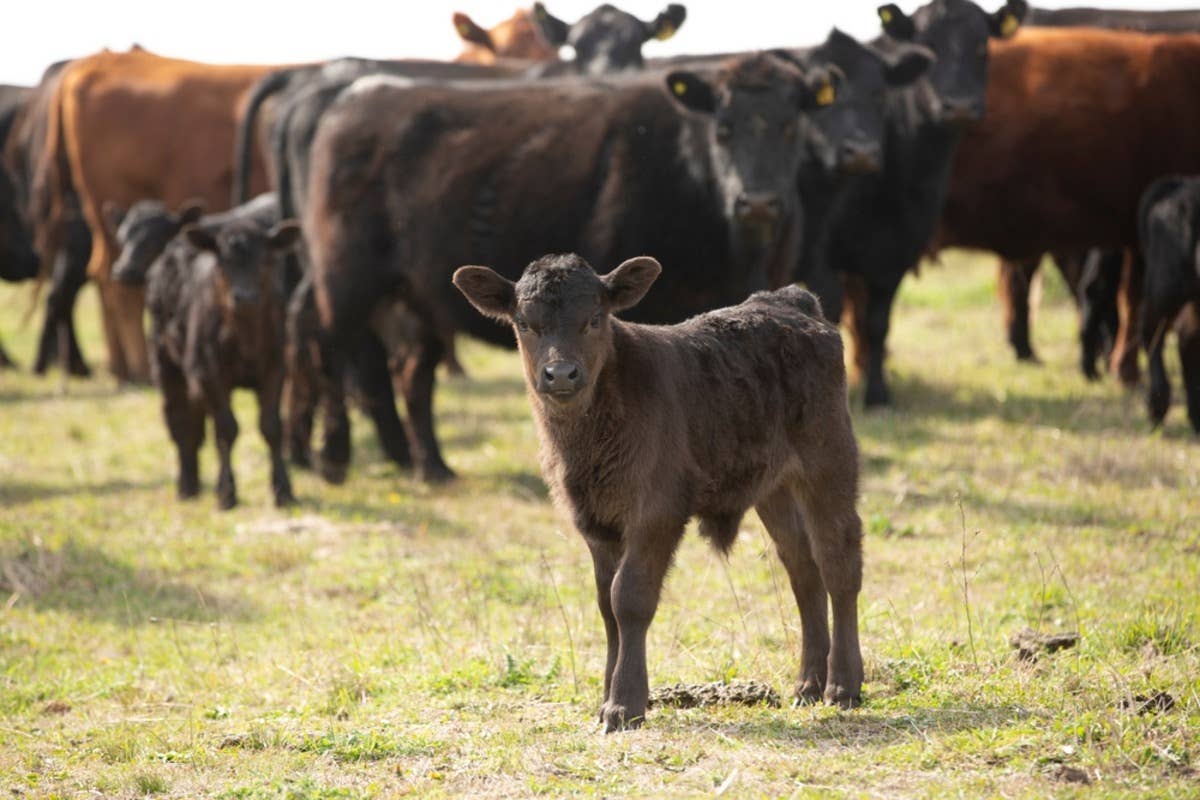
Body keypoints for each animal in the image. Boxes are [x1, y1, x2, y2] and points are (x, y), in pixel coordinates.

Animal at [112, 194, 300, 508]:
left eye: (266, 260)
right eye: (222, 262)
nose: (244, 297)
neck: (245, 335)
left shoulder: (275, 368)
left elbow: (271, 426)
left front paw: (283, 489)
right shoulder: (208, 372)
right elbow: (225, 428)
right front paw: (226, 492)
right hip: (167, 363)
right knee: (179, 420)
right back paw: (187, 484)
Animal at [303, 53, 842, 483]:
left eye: (792, 127)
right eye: (723, 129)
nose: (758, 202)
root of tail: (355, 98)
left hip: (423, 297)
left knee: (412, 372)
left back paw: (433, 467)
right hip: (345, 280)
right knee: (332, 351)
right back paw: (333, 459)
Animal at [453, 254, 863, 730]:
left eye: (595, 318)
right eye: (524, 323)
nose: (560, 374)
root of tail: (787, 301)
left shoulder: (657, 510)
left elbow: (629, 598)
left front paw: (624, 704)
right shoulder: (595, 521)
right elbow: (605, 605)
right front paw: (606, 697)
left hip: (828, 459)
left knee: (838, 562)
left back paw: (843, 685)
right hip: (774, 486)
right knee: (802, 566)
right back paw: (808, 685)